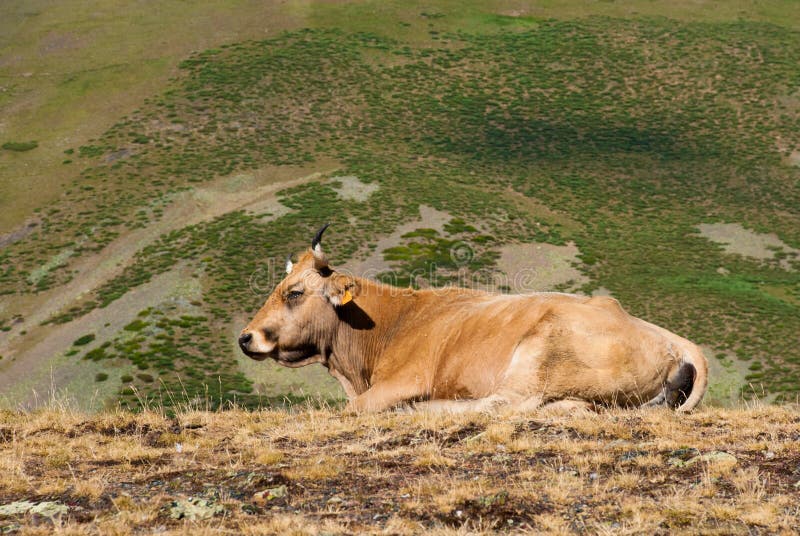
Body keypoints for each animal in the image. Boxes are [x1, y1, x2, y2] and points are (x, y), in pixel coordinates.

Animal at [239, 224, 708, 414]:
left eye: (294, 293)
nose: (246, 337)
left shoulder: (403, 380)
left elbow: (353, 408)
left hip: (540, 349)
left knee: (508, 404)